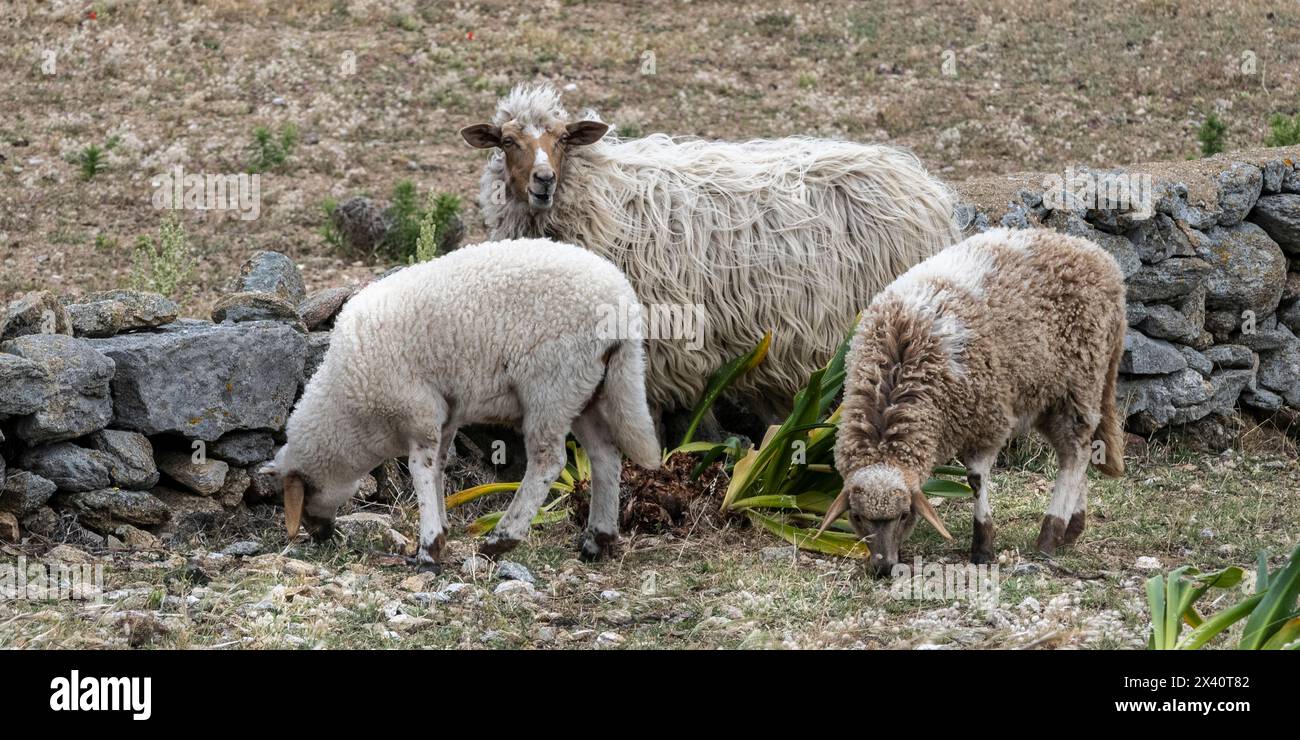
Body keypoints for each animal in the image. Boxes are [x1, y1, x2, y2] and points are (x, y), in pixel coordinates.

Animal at [260, 238, 661, 571]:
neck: (349, 409)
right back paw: (598, 540)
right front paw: (441, 528)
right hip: (586, 389)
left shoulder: (418, 411)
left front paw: (428, 550)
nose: (318, 535)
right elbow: (438, 467)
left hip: (551, 383)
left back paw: (501, 539)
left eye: (303, 495)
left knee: (549, 462)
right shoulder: (445, 414)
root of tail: (623, 303)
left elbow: (419, 470)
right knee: (605, 455)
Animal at [819, 227, 1127, 577]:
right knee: (1077, 452)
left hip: (1079, 382)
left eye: (904, 515)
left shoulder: (987, 420)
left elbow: (976, 482)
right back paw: (1072, 528)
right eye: (857, 517)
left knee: (1075, 454)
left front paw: (983, 546)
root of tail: (1099, 256)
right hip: (1047, 395)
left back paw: (1050, 535)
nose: (884, 567)